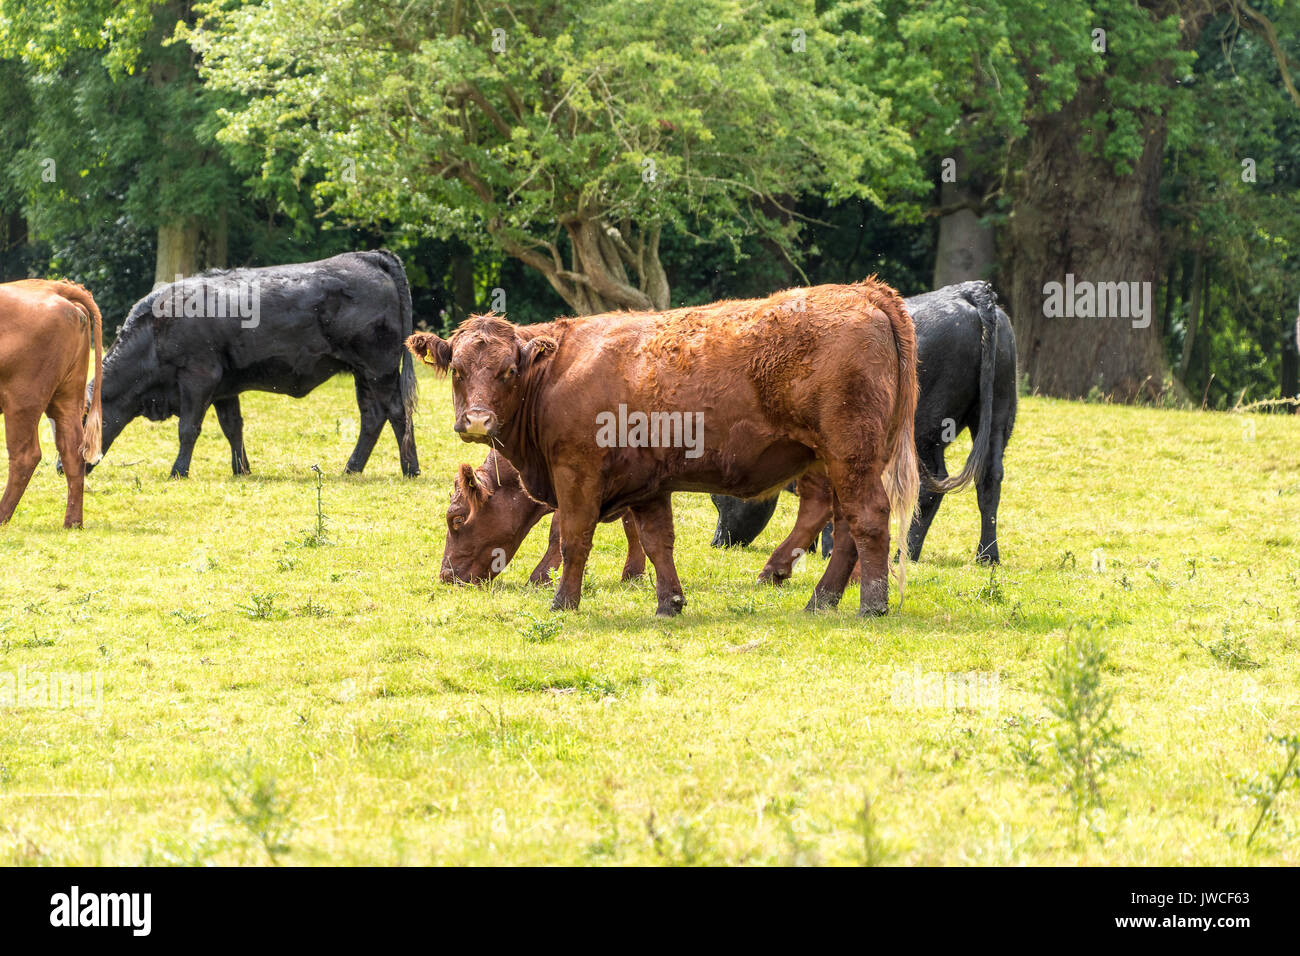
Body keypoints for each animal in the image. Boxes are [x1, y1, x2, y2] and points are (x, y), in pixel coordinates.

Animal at [0, 279, 103, 528]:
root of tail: (53, 286)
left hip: (22, 400)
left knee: (25, 455)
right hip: (66, 395)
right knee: (72, 450)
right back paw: (72, 522)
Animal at [91, 250, 419, 478]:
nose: (73, 466)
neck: (156, 332)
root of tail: (367, 256)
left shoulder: (199, 376)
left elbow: (188, 428)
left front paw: (178, 471)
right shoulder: (224, 388)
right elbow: (232, 427)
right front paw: (242, 469)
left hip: (380, 368)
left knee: (397, 413)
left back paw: (410, 469)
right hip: (362, 373)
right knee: (372, 417)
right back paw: (352, 468)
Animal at [407, 279, 919, 617]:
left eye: (507, 372)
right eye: (457, 371)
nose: (477, 419)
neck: (554, 373)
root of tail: (862, 292)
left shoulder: (576, 473)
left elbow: (572, 537)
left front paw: (561, 600)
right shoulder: (647, 485)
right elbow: (657, 541)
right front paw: (669, 601)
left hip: (850, 456)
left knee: (866, 520)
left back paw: (870, 604)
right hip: (840, 463)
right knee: (844, 526)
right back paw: (821, 598)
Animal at [711, 281, 1017, 580]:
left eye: (719, 497)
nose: (717, 542)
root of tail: (969, 290)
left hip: (927, 430)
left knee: (930, 486)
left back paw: (906, 553)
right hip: (998, 412)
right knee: (989, 478)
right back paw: (987, 555)